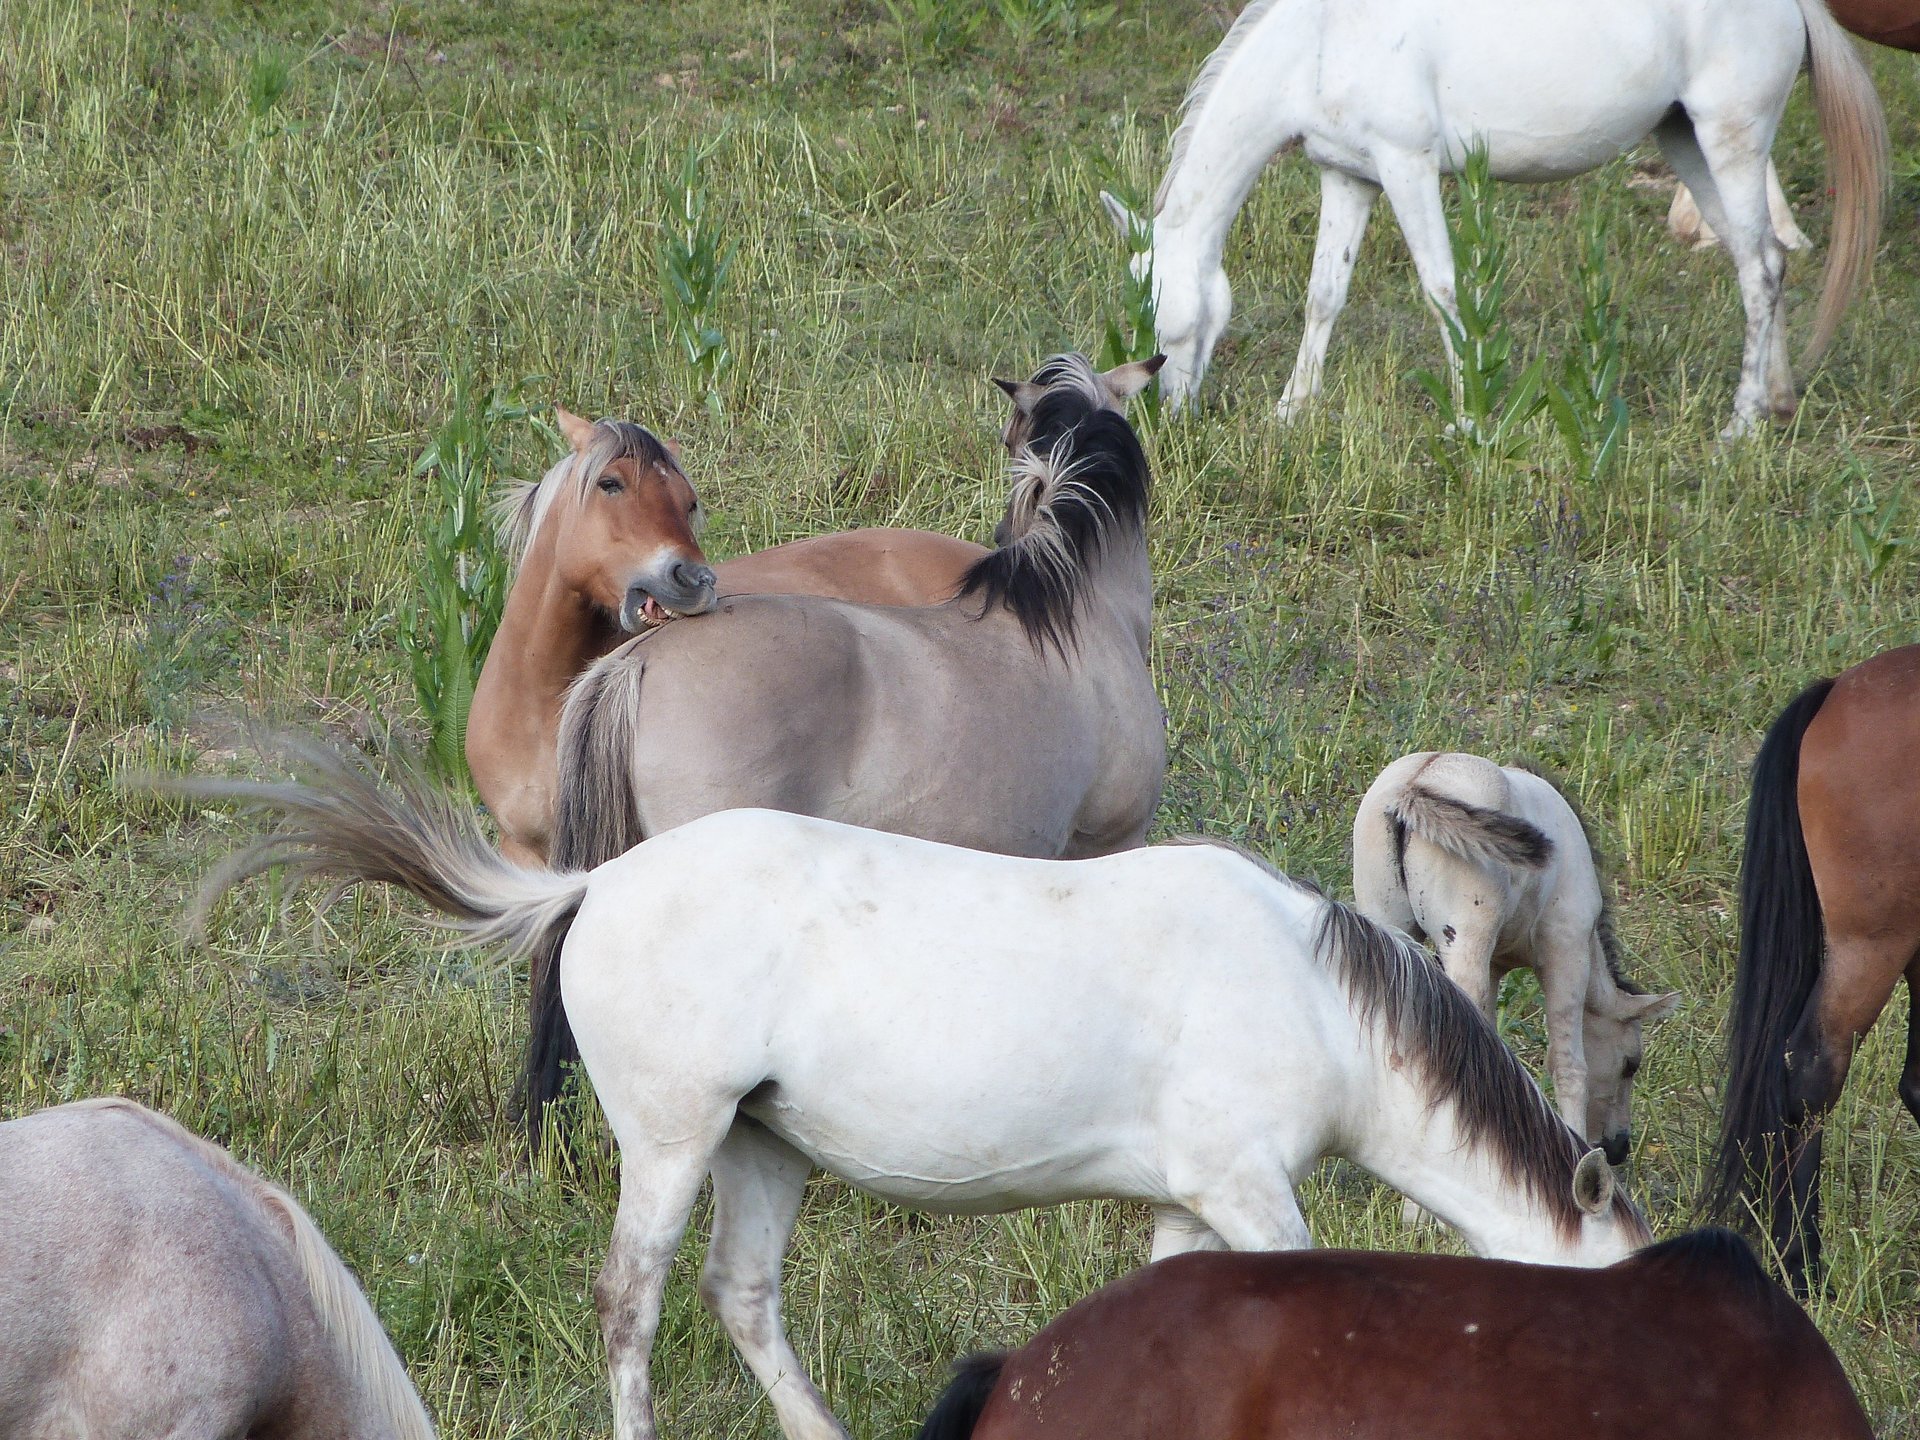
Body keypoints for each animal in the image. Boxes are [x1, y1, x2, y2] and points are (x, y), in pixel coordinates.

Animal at [1100, 0, 1888, 438]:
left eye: (1168, 322)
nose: (1168, 415)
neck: (1320, 38)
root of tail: (1792, 6)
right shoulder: (1350, 175)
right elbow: (1325, 296)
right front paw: (1293, 411)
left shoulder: (1407, 167)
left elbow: (1443, 290)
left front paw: (1469, 416)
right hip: (1685, 140)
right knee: (1757, 260)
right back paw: (1777, 403)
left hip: (1731, 141)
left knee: (1762, 266)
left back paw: (1741, 425)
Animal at [1353, 752, 1680, 1165]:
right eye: (1631, 1064)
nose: (1617, 1147)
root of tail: (1416, 782)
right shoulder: (1567, 948)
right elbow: (1569, 1066)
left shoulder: (1496, 965)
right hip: (1465, 948)